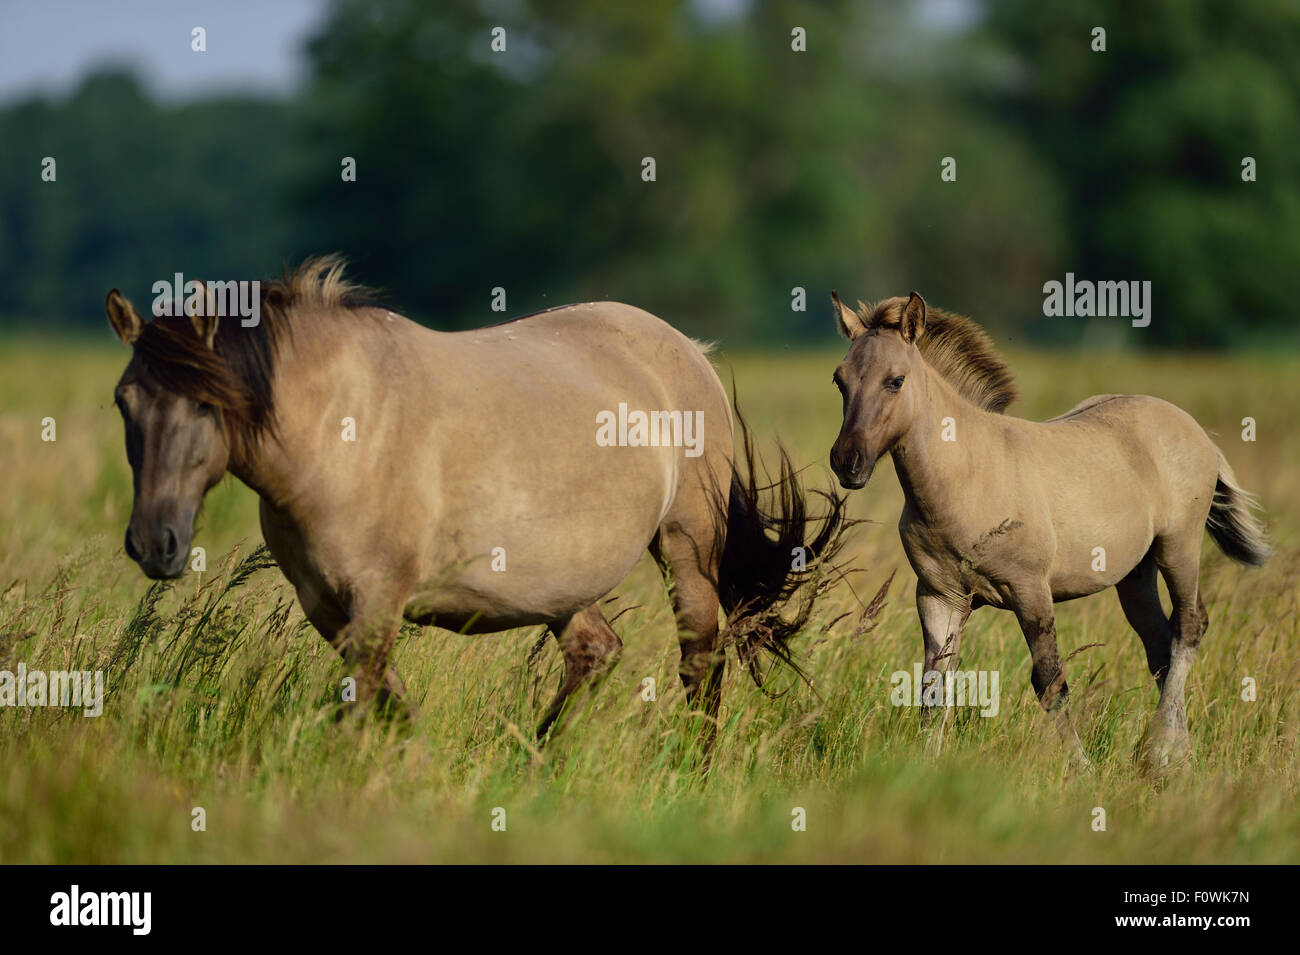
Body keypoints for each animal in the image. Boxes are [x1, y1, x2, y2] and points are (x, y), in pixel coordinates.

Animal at [104, 256, 844, 745]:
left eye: (207, 404)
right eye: (124, 401)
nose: (155, 543)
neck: (342, 428)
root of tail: (689, 351)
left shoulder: (378, 600)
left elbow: (359, 705)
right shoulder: (330, 607)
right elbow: (388, 702)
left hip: (686, 549)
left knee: (699, 658)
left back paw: (691, 765)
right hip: (561, 584)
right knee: (596, 650)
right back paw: (535, 759)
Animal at [826, 290, 1270, 773]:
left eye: (896, 380)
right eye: (839, 380)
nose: (847, 462)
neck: (968, 477)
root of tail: (1193, 428)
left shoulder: (1030, 591)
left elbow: (1050, 682)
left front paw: (1082, 769)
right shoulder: (939, 596)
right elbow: (934, 686)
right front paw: (924, 768)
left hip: (1179, 548)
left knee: (1189, 628)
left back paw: (1165, 753)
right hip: (1135, 574)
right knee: (1159, 648)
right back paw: (1172, 757)